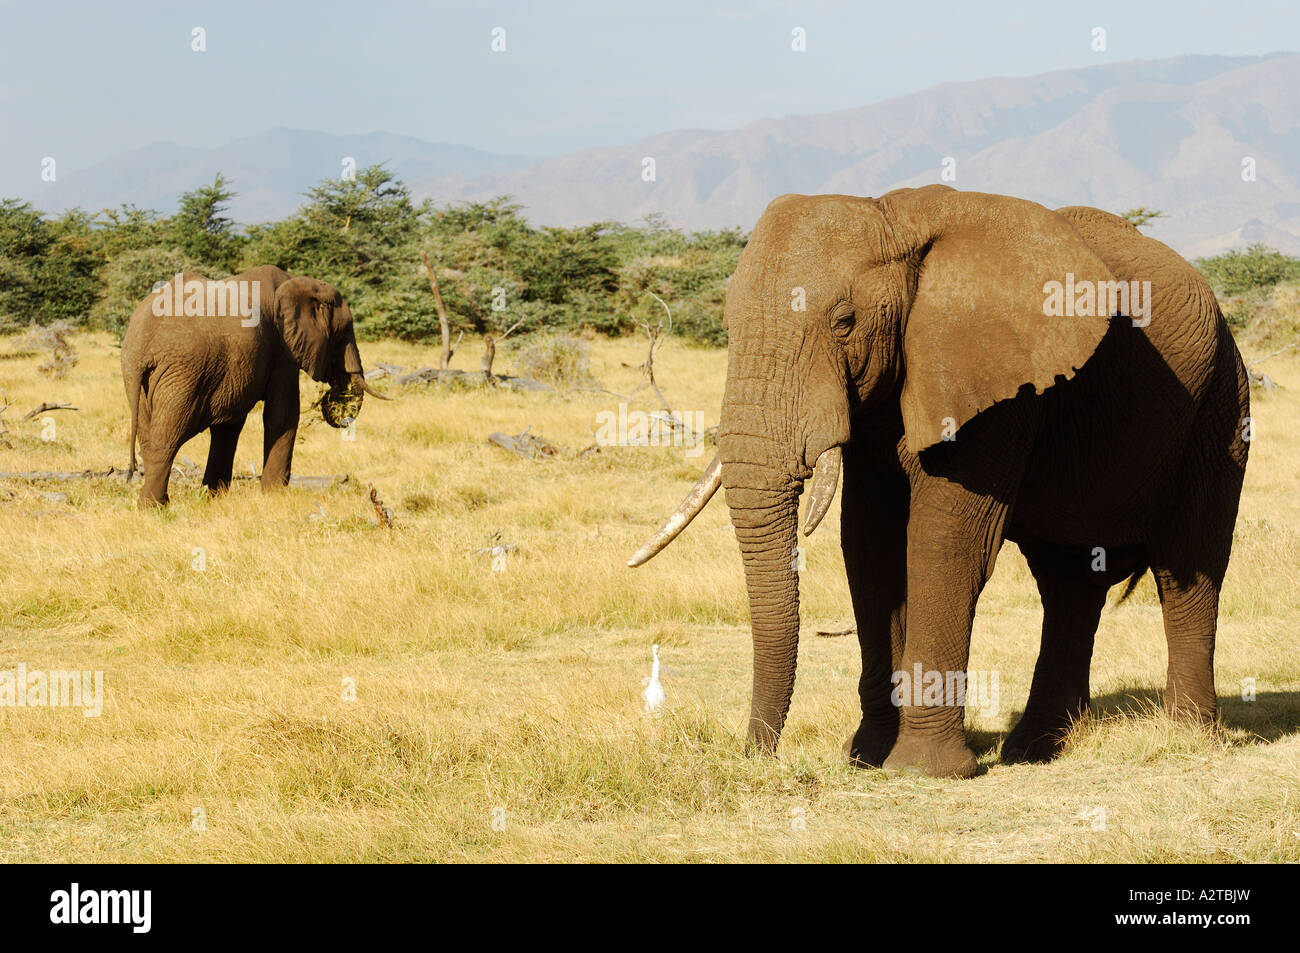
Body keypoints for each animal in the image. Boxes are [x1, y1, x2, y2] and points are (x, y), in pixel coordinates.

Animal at [121, 264, 387, 505]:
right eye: (345, 331)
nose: (334, 395)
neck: (301, 282)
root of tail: (143, 340)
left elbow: (229, 425)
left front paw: (215, 497)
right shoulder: (283, 350)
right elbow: (283, 415)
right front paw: (275, 496)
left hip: (142, 376)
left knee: (148, 436)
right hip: (184, 373)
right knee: (166, 436)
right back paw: (154, 507)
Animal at [628, 186, 1250, 778]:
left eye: (844, 322)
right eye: (727, 327)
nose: (757, 756)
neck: (890, 218)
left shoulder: (995, 384)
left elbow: (942, 543)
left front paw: (921, 770)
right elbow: (870, 547)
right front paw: (867, 757)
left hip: (1221, 405)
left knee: (1187, 569)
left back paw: (1187, 738)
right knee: (1068, 583)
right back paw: (1034, 749)